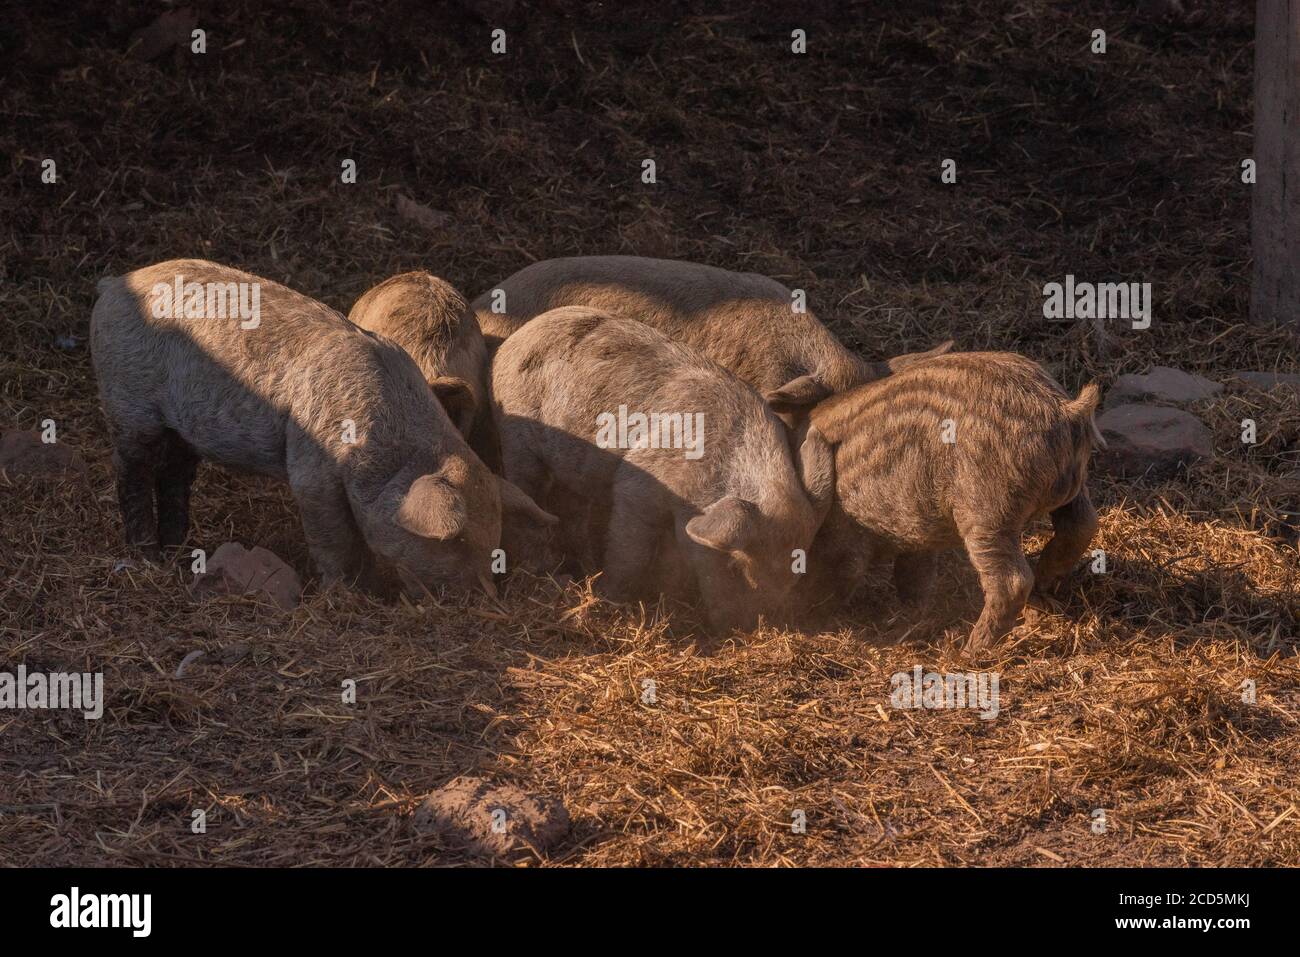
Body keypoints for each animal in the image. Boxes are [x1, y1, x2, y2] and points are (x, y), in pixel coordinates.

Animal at [490, 305, 836, 633]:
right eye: (736, 567)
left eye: (792, 578)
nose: (741, 628)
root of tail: (511, 344)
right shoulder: (636, 484)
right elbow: (630, 547)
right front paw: (609, 596)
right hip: (517, 438)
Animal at [806, 352, 1104, 651]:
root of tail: (1063, 409)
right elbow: (915, 571)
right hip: (1071, 491)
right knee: (1082, 527)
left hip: (986, 509)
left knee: (1012, 581)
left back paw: (971, 650)